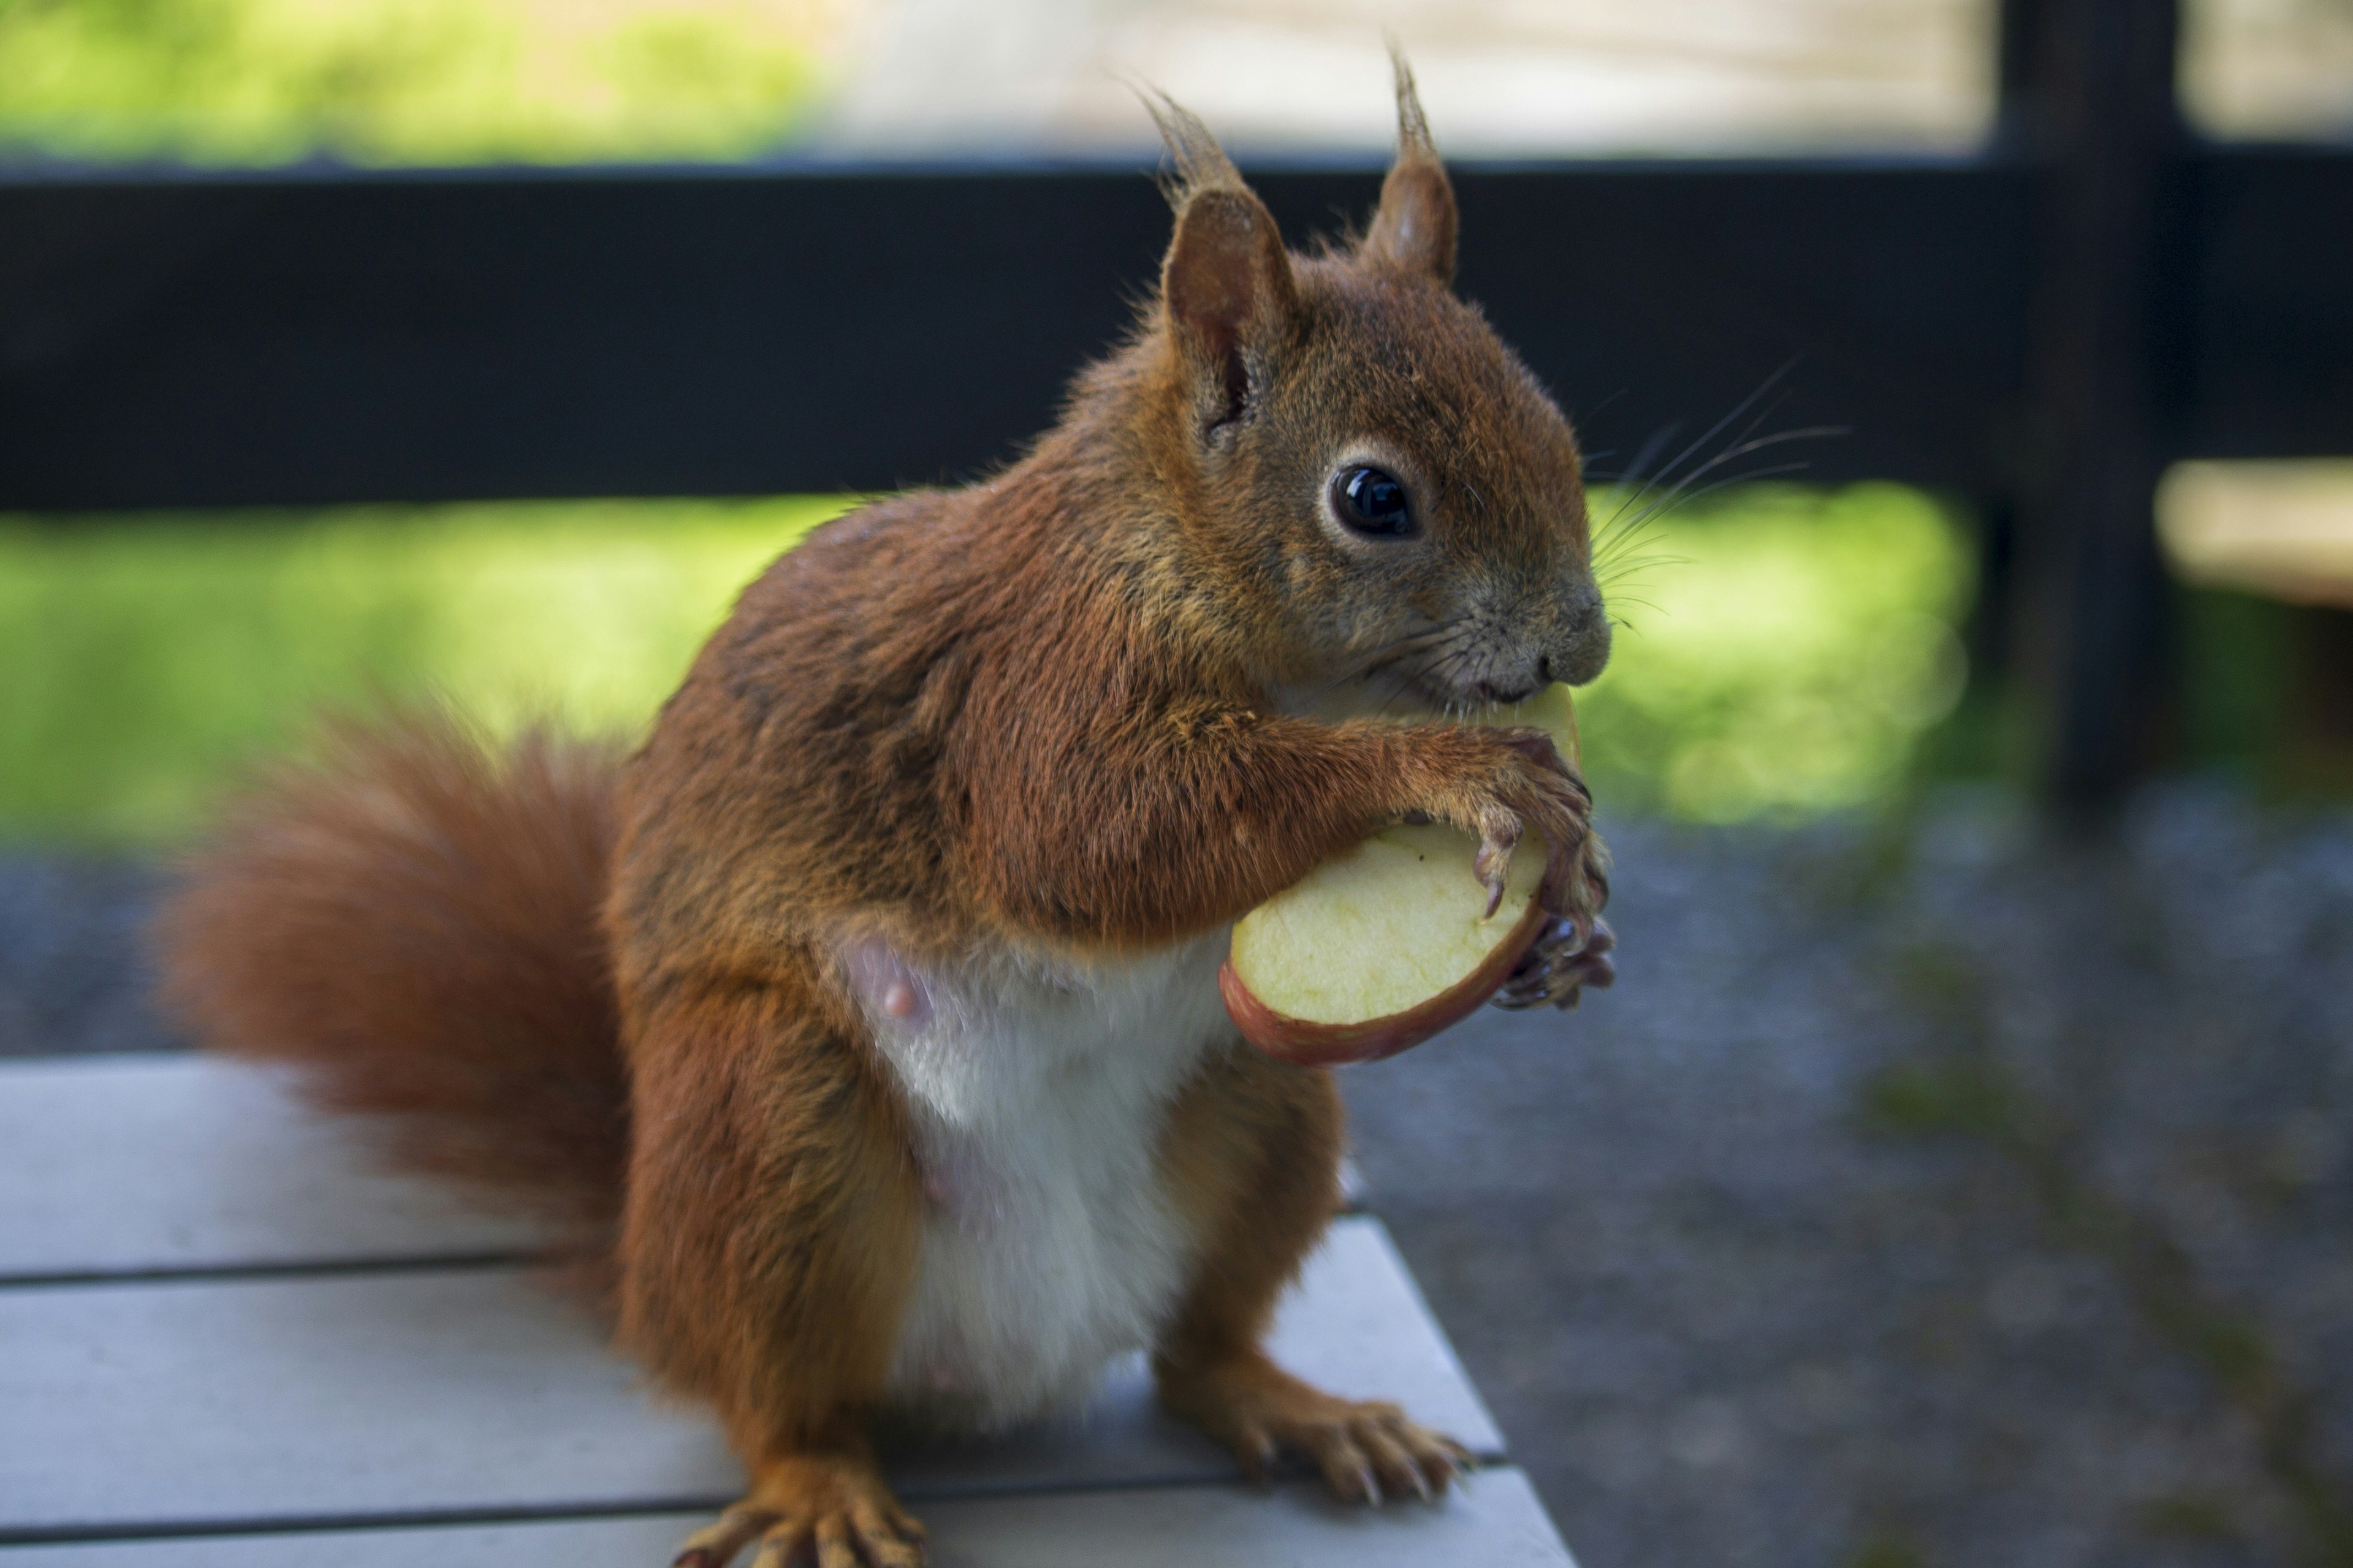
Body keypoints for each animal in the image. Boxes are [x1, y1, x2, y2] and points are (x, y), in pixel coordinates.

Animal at [157, 60, 1614, 1568]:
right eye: (1370, 497)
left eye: (1553, 426)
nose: (1579, 648)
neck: (1188, 557)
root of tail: (1011, 1361)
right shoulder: (1029, 685)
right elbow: (1093, 834)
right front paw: (1454, 772)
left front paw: (1572, 938)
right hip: (767, 1124)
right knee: (775, 1395)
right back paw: (816, 1485)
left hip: (1267, 1111)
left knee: (1194, 1352)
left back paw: (1299, 1405)